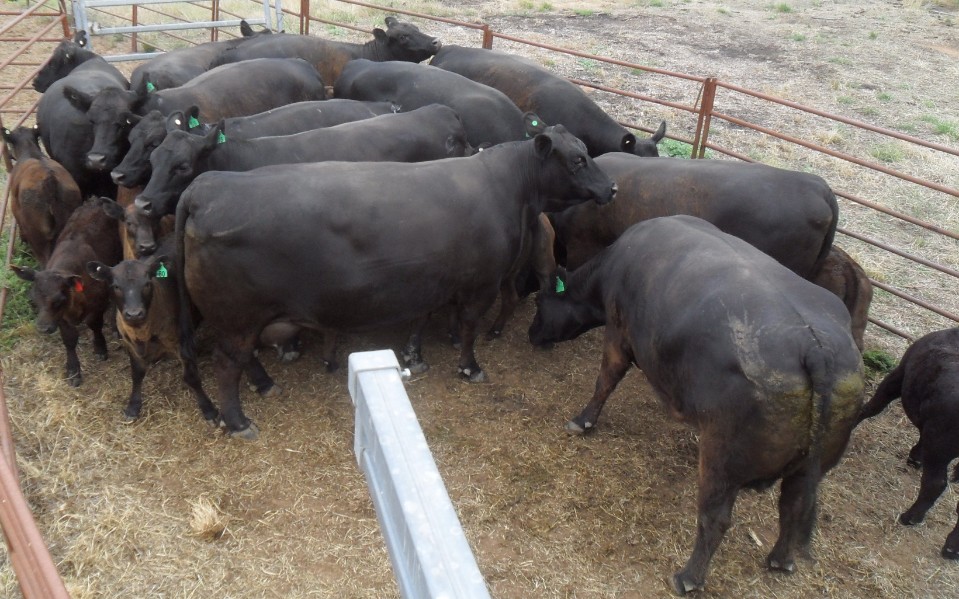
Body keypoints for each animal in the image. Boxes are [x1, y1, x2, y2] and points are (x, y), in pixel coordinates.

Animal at [11, 198, 122, 386]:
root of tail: (97, 200)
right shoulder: (61, 317)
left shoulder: (97, 305)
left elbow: (95, 325)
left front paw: (100, 348)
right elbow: (69, 339)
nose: (43, 328)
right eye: (33, 300)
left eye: (59, 299)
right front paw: (73, 370)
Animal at [173, 124, 616, 439]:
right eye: (578, 160)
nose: (611, 187)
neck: (508, 188)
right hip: (237, 317)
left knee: (244, 359)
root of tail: (207, 185)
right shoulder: (481, 284)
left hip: (242, 320)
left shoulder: (432, 280)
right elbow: (469, 329)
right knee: (227, 364)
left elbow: (422, 319)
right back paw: (238, 422)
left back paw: (265, 385)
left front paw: (414, 355)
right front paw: (469, 367)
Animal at [528, 215, 864, 595]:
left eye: (539, 303)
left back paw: (688, 577)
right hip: (810, 468)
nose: (531, 333)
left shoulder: (618, 332)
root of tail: (813, 345)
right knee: (792, 506)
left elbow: (606, 380)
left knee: (715, 519)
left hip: (721, 461)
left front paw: (583, 420)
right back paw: (780, 559)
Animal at [857, 327, 959, 560]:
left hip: (939, 445)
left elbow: (875, 405)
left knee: (935, 483)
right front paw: (915, 457)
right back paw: (952, 547)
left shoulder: (897, 375)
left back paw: (911, 517)